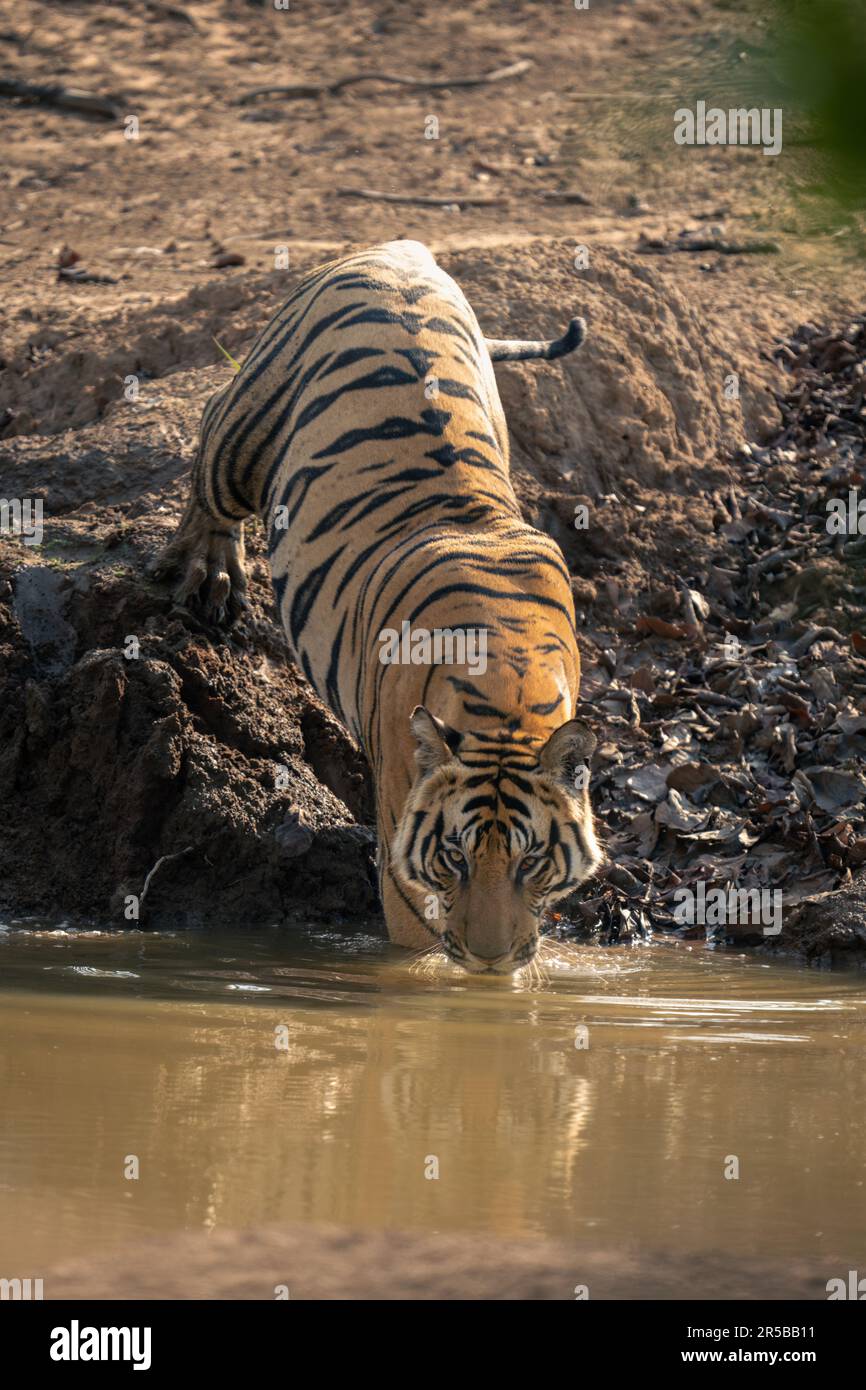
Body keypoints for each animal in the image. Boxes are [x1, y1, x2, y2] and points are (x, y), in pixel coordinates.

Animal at [153, 239, 602, 974]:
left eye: (532, 861)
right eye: (454, 857)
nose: (490, 959)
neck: (507, 693)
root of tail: (401, 248)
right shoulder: (401, 847)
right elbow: (418, 943)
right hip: (244, 433)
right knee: (211, 454)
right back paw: (208, 574)